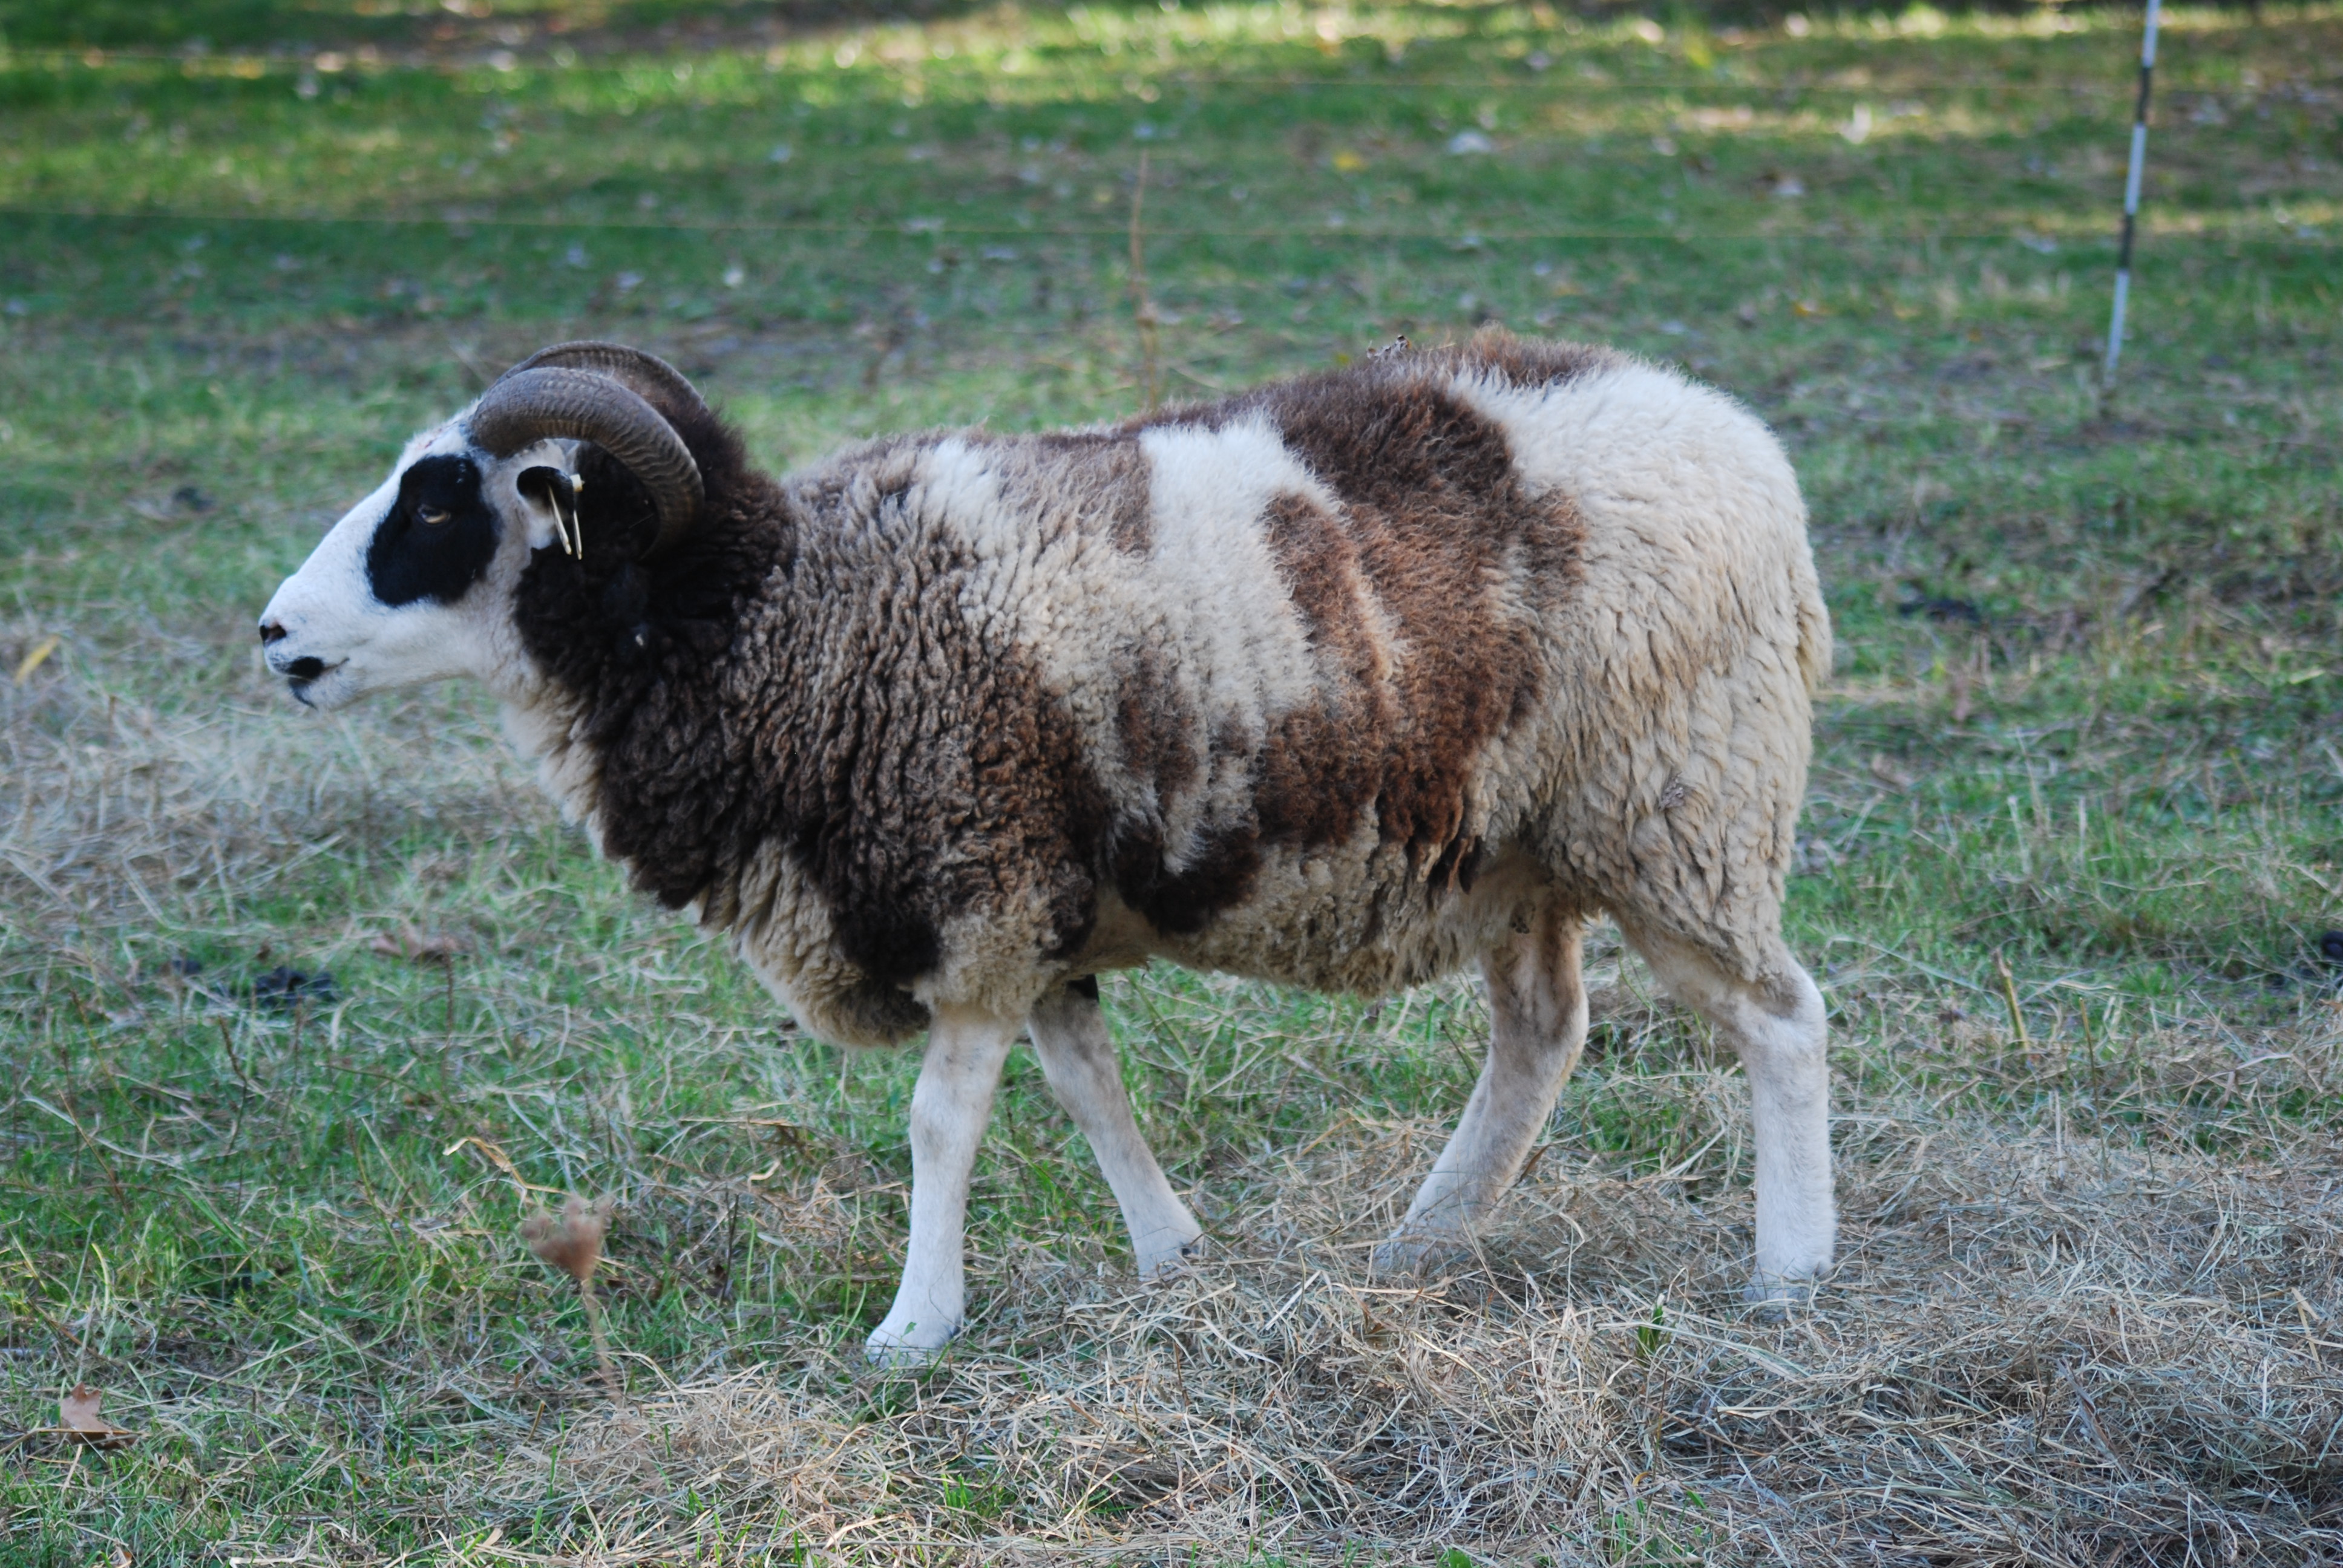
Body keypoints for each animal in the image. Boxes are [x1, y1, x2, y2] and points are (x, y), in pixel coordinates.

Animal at [259, 332, 1836, 1361]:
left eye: (440, 503)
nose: (275, 637)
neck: (782, 615)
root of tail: (1739, 440)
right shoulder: (1039, 908)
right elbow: (1086, 1084)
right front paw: (1170, 1255)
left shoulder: (978, 894)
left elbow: (940, 1122)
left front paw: (914, 1325)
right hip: (1519, 850)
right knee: (1542, 1034)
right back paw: (1421, 1243)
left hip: (1681, 810)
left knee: (1779, 1015)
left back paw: (1789, 1271)